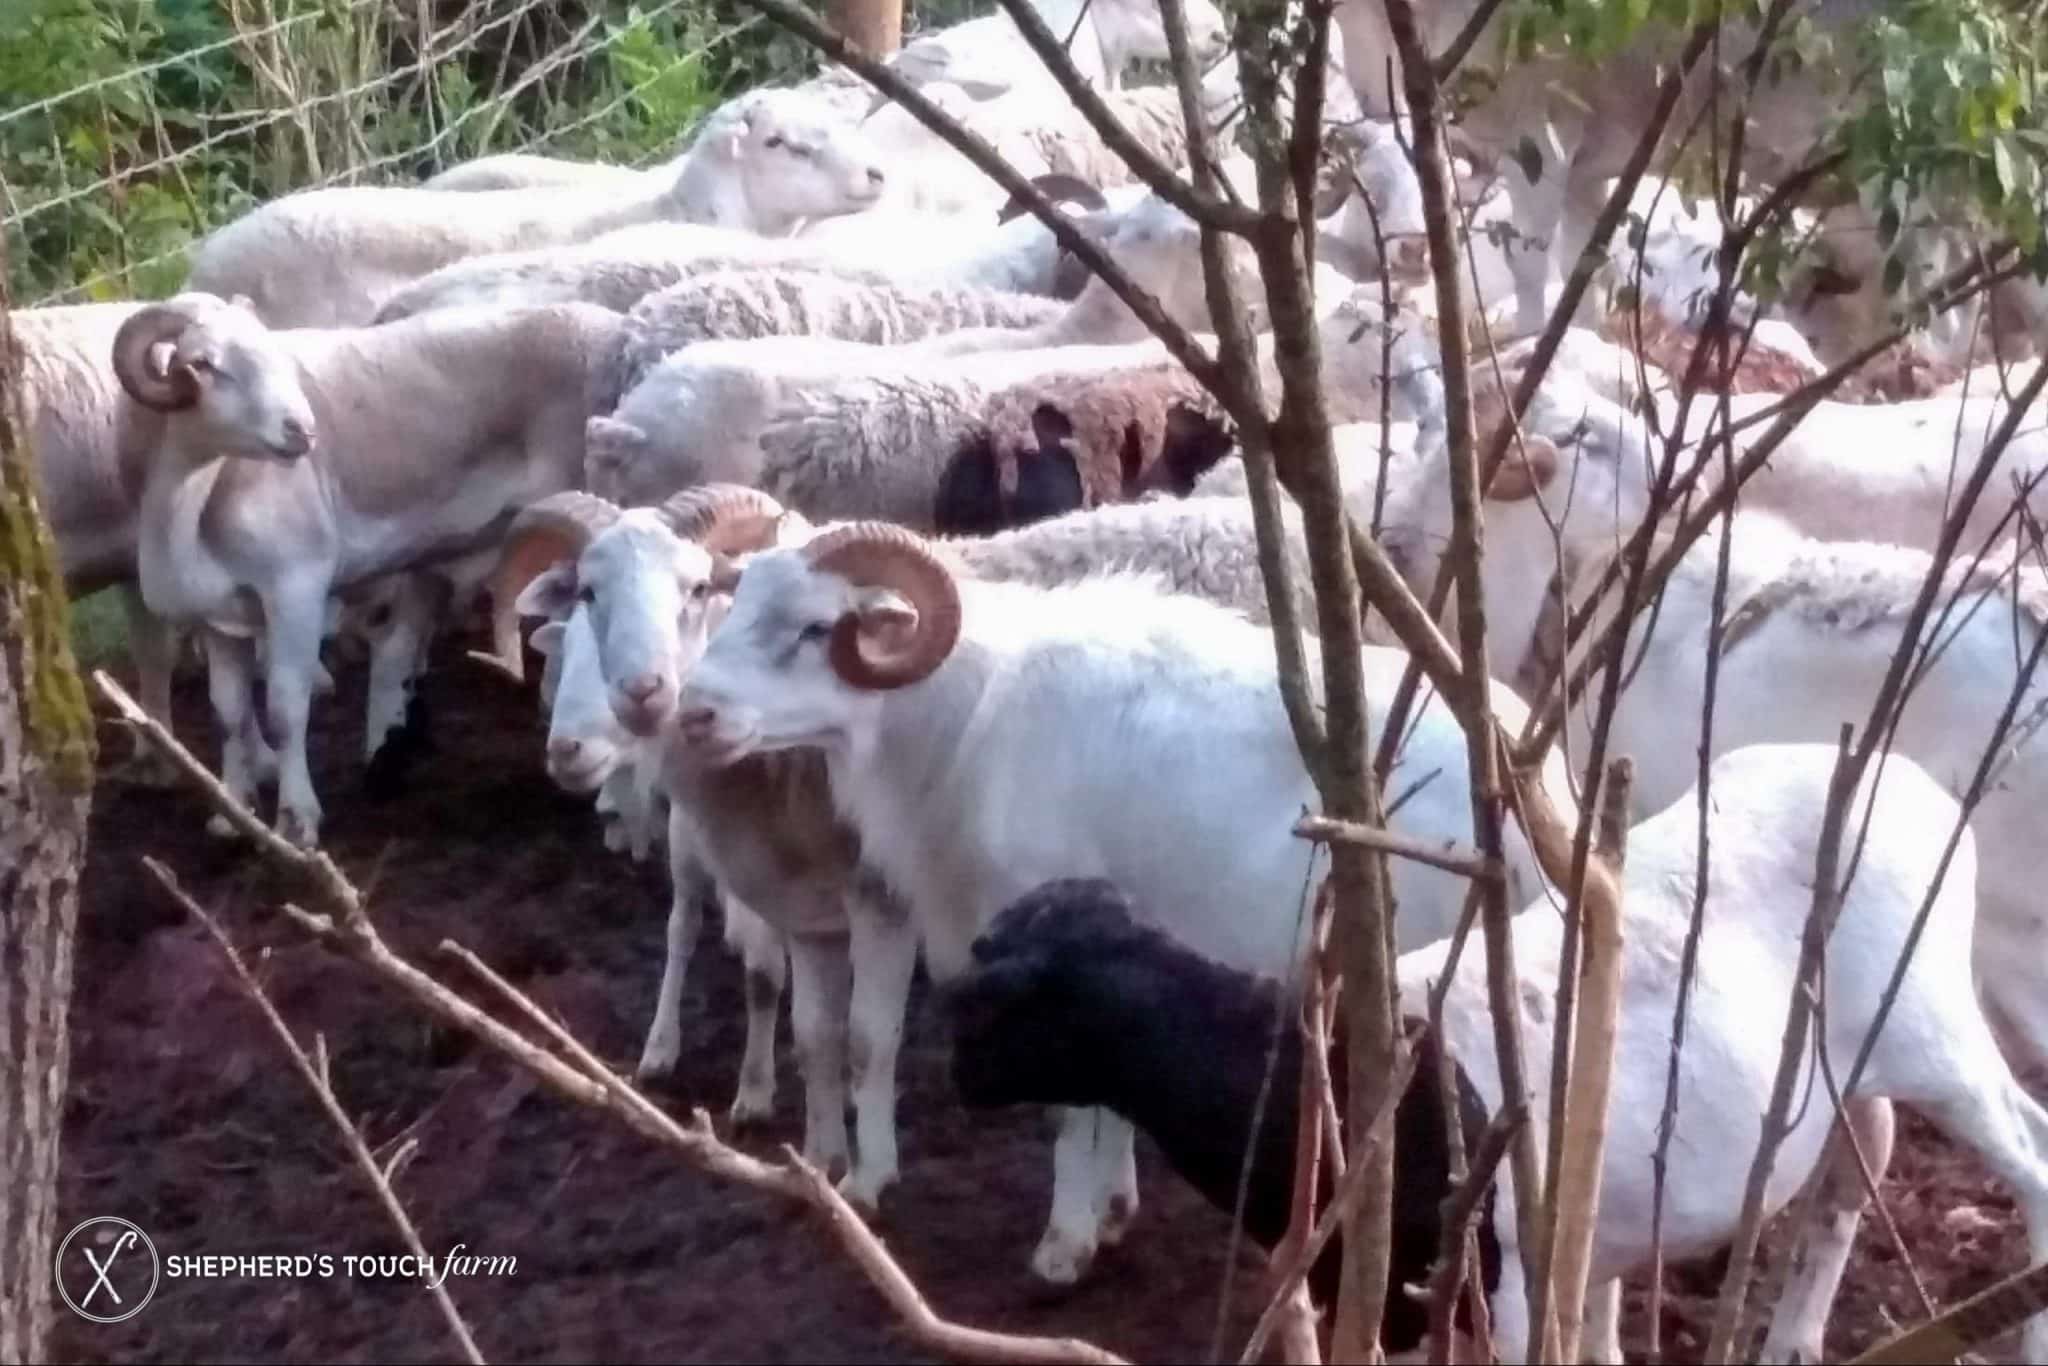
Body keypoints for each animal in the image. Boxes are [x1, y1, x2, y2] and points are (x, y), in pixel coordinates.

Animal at [111, 294, 627, 847]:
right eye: (203, 363)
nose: (301, 430)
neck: (194, 498)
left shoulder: (295, 589)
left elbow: (285, 709)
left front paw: (296, 822)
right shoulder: (219, 617)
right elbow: (228, 713)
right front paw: (233, 813)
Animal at [670, 516, 1576, 1285]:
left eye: (815, 628)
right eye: (733, 604)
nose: (693, 714)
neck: (967, 716)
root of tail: (1542, 806)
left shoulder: (1050, 958)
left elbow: (1072, 1105)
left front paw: (1063, 1247)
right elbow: (1109, 1096)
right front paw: (1110, 1211)